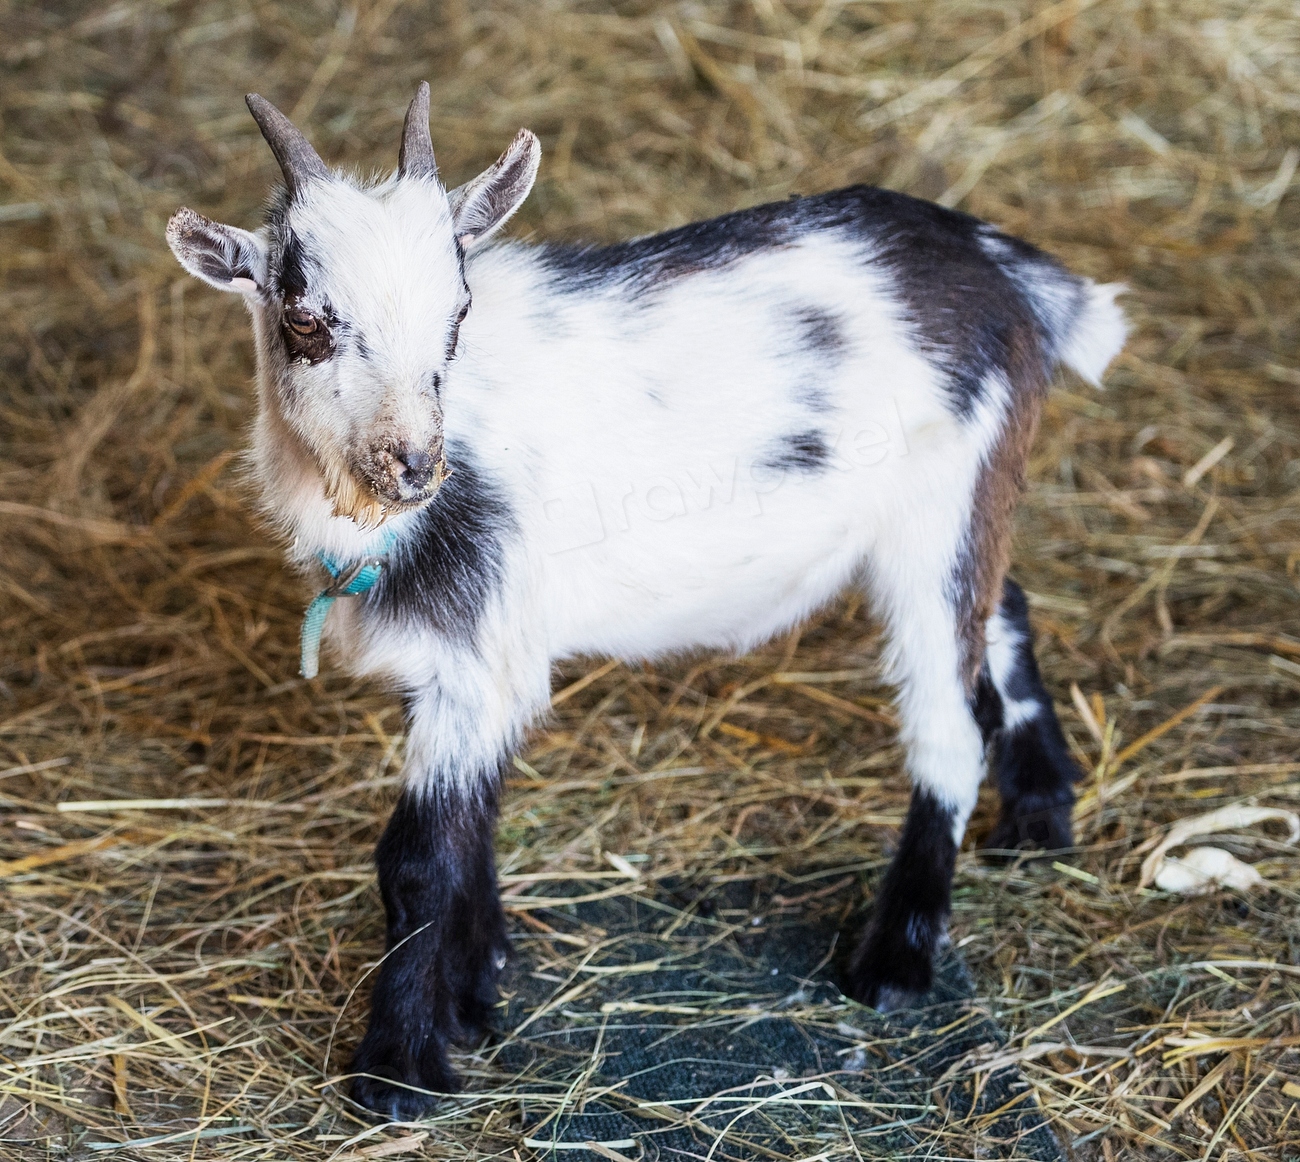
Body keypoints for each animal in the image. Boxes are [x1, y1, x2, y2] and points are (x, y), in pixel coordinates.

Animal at [166, 84, 1126, 1119]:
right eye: (304, 316)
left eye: (458, 310)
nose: (412, 465)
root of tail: (1006, 267)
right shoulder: (479, 660)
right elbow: (475, 826)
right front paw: (475, 989)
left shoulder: (478, 654)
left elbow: (418, 862)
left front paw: (397, 1069)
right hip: (964, 506)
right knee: (1004, 605)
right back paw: (1040, 815)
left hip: (936, 514)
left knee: (948, 725)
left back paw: (895, 963)